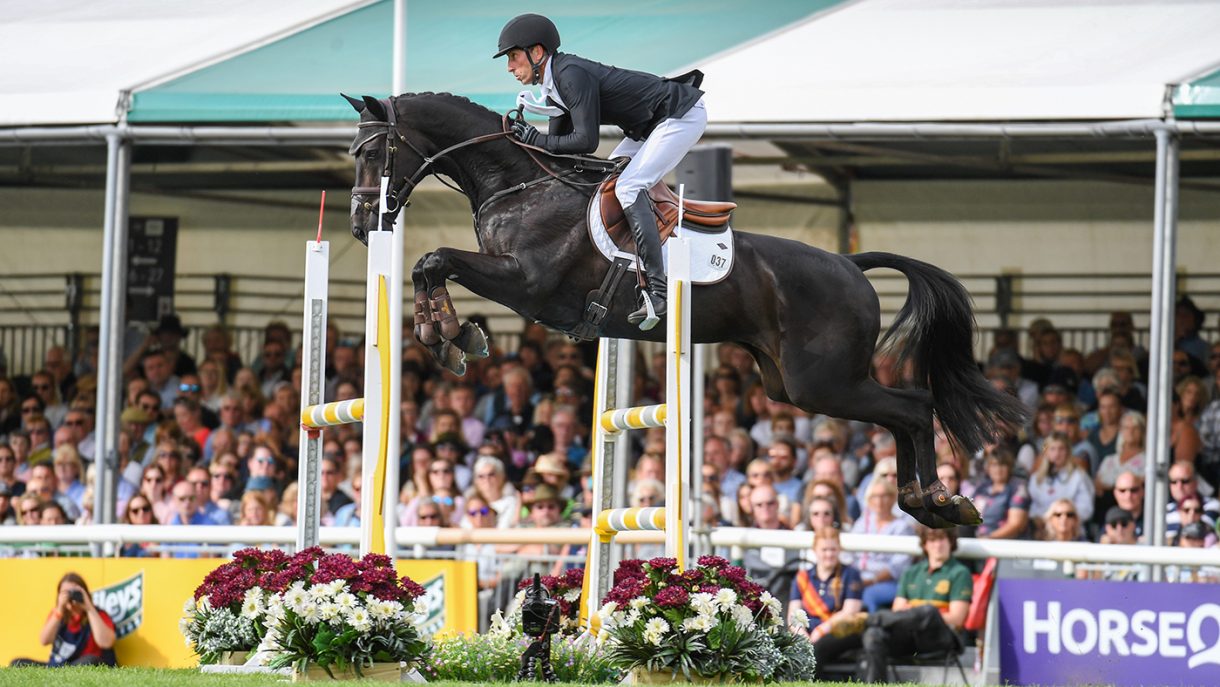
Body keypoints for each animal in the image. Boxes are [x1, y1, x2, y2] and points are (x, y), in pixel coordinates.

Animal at [344, 92, 1026, 528]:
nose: (360, 225)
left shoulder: (528, 284)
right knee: (902, 415)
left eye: (374, 153)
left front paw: (451, 333)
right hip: (792, 386)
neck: (519, 183)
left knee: (912, 408)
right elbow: (428, 265)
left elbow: (433, 258)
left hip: (822, 382)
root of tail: (850, 263)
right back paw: (927, 502)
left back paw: (938, 500)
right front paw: (446, 335)